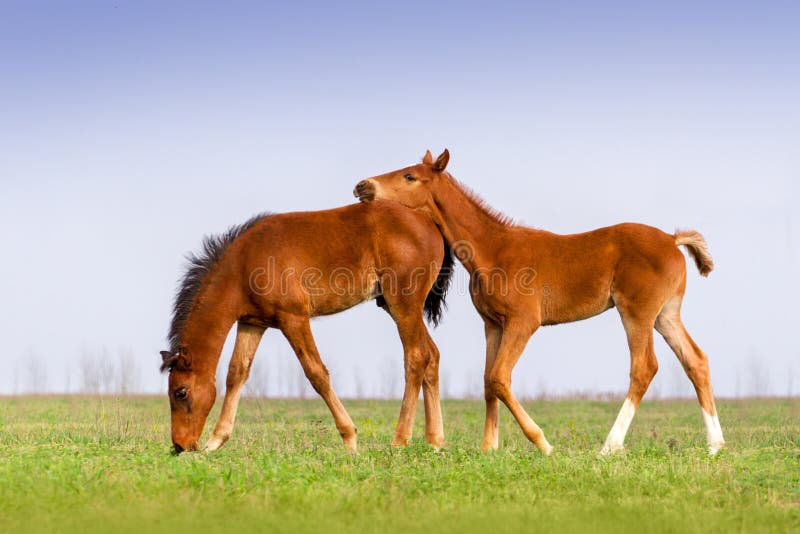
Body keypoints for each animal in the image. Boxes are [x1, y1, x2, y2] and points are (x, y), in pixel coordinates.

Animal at [160, 201, 453, 454]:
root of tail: (428, 222)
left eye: (180, 392)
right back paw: (435, 441)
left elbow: (316, 373)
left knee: (417, 356)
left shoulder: (294, 318)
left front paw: (350, 439)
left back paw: (400, 440)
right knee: (433, 354)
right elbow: (236, 374)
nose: (180, 446)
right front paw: (215, 441)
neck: (245, 264)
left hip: (403, 302)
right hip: (396, 307)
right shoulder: (252, 323)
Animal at [354, 149, 724, 456]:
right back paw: (715, 444)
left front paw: (542, 442)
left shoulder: (524, 322)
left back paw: (610, 446)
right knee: (696, 360)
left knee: (644, 366)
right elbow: (487, 381)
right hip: (666, 315)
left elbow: (499, 377)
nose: (362, 186)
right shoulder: (493, 324)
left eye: (409, 176)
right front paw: (489, 447)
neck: (493, 249)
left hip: (637, 313)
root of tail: (672, 240)